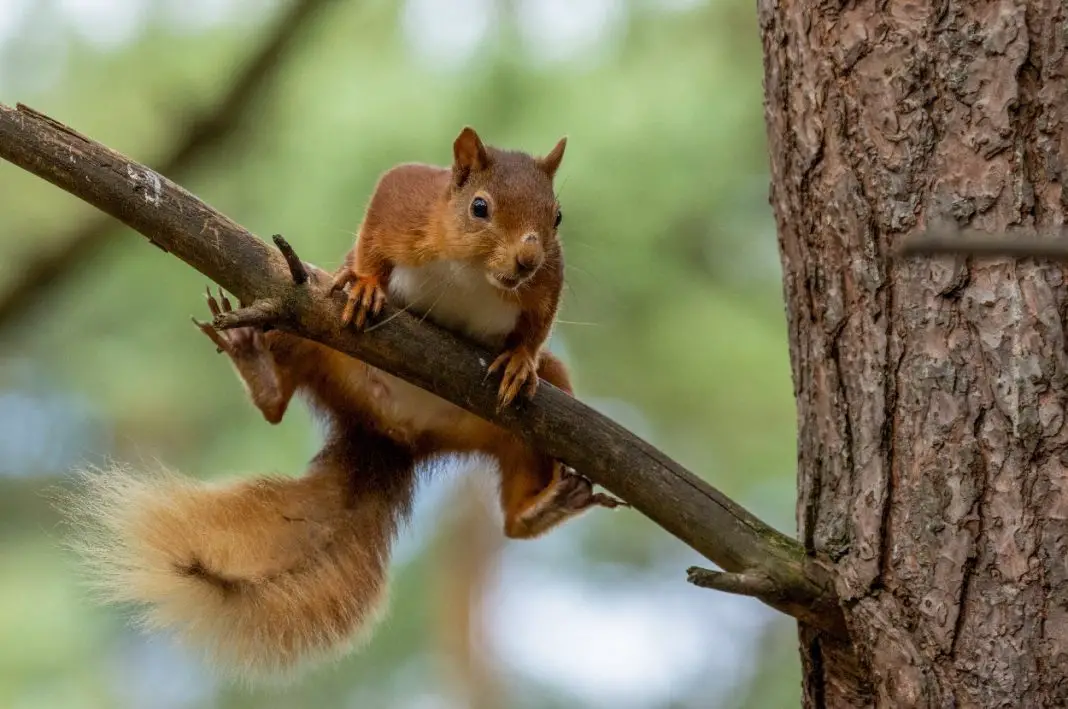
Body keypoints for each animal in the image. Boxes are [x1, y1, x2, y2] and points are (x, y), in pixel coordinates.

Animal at [66, 127, 623, 683]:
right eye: (480, 207)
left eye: (556, 216)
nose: (526, 259)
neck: (473, 272)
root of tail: (391, 431)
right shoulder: (407, 203)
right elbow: (380, 218)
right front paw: (369, 285)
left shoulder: (548, 278)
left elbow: (539, 322)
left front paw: (521, 360)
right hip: (302, 312)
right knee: (277, 394)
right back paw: (256, 360)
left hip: (522, 423)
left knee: (512, 515)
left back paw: (544, 504)